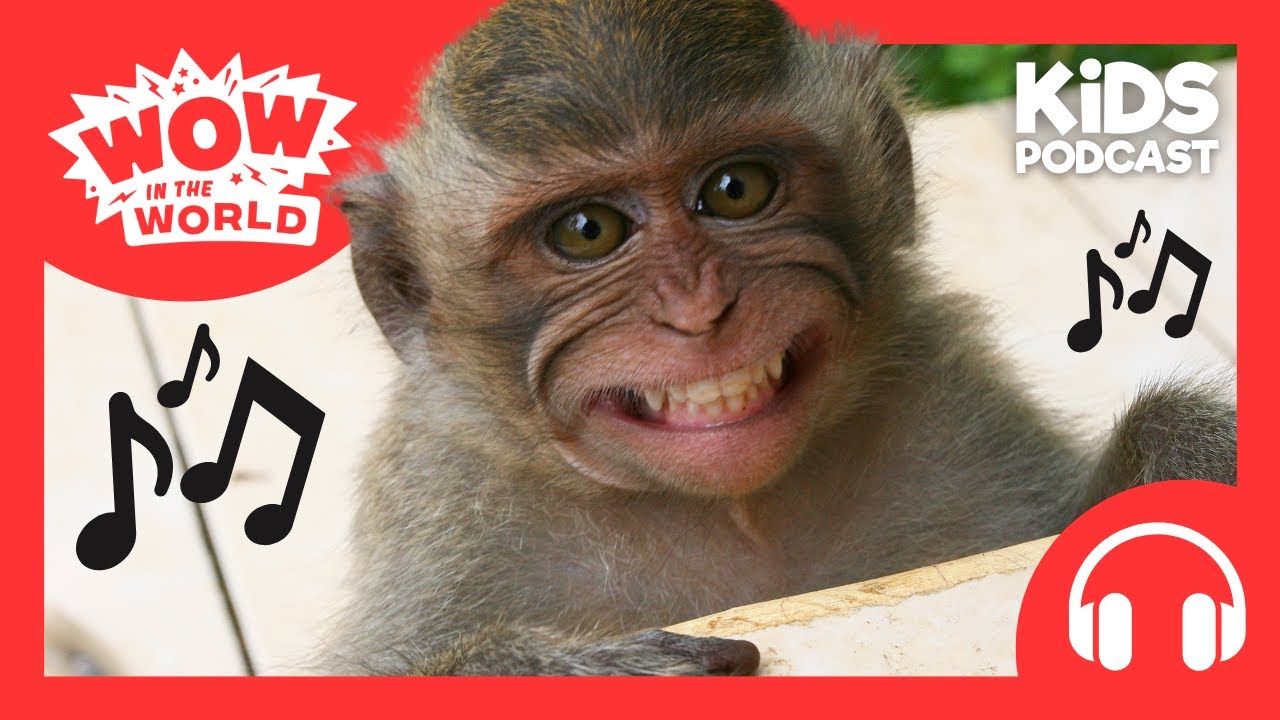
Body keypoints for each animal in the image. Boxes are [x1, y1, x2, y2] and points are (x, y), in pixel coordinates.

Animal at [322, 0, 1236, 675]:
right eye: (587, 231)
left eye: (737, 189)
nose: (697, 310)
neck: (742, 513)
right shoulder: (448, 510)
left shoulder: (950, 398)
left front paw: (1191, 451)